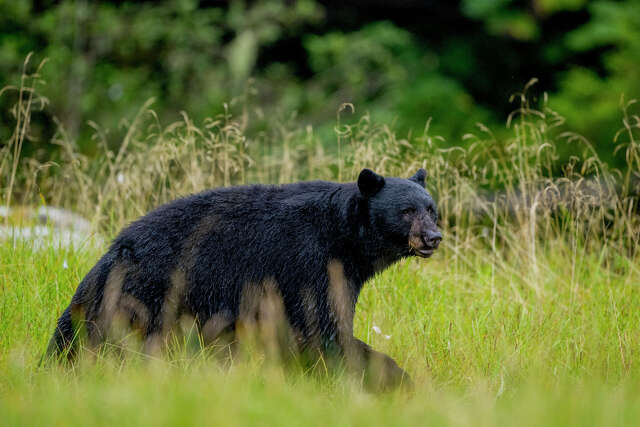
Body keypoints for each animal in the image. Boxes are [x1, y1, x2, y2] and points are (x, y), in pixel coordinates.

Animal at [46, 168, 442, 390]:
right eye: (407, 211)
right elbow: (320, 328)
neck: (346, 238)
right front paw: (394, 380)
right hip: (149, 292)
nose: (433, 237)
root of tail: (114, 250)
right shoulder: (309, 262)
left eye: (432, 209)